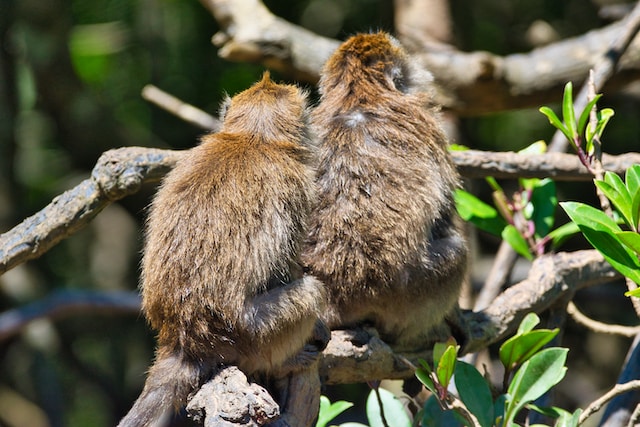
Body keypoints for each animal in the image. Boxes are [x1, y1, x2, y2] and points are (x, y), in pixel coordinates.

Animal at [118, 72, 326, 427]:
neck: (254, 137)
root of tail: (183, 342)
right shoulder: (297, 186)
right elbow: (286, 263)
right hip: (254, 336)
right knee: (311, 292)